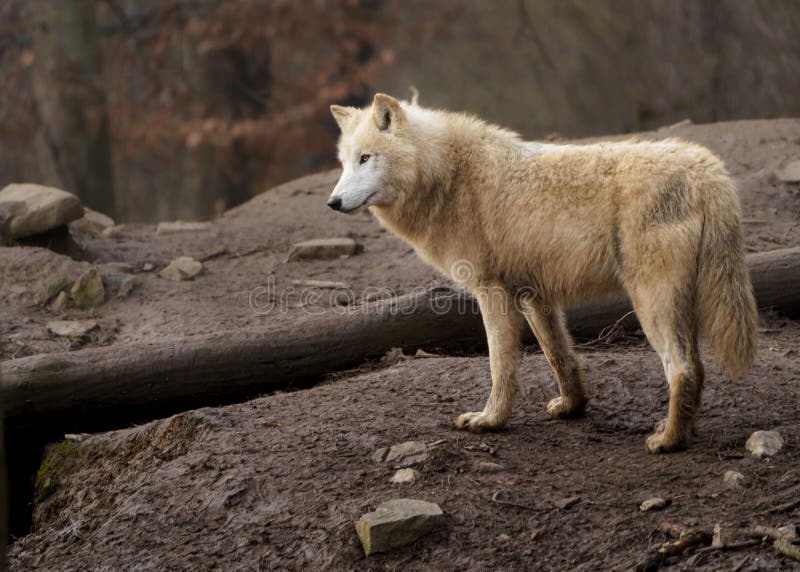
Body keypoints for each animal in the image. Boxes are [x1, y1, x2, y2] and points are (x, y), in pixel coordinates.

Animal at [327, 91, 757, 453]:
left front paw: (490, 420)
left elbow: (501, 368)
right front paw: (572, 407)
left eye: (366, 158)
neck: (448, 176)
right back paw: (681, 432)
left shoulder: (492, 292)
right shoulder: (534, 295)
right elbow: (559, 356)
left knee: (682, 370)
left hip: (652, 305)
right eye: (344, 162)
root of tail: (707, 170)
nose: (333, 202)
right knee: (697, 368)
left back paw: (667, 441)